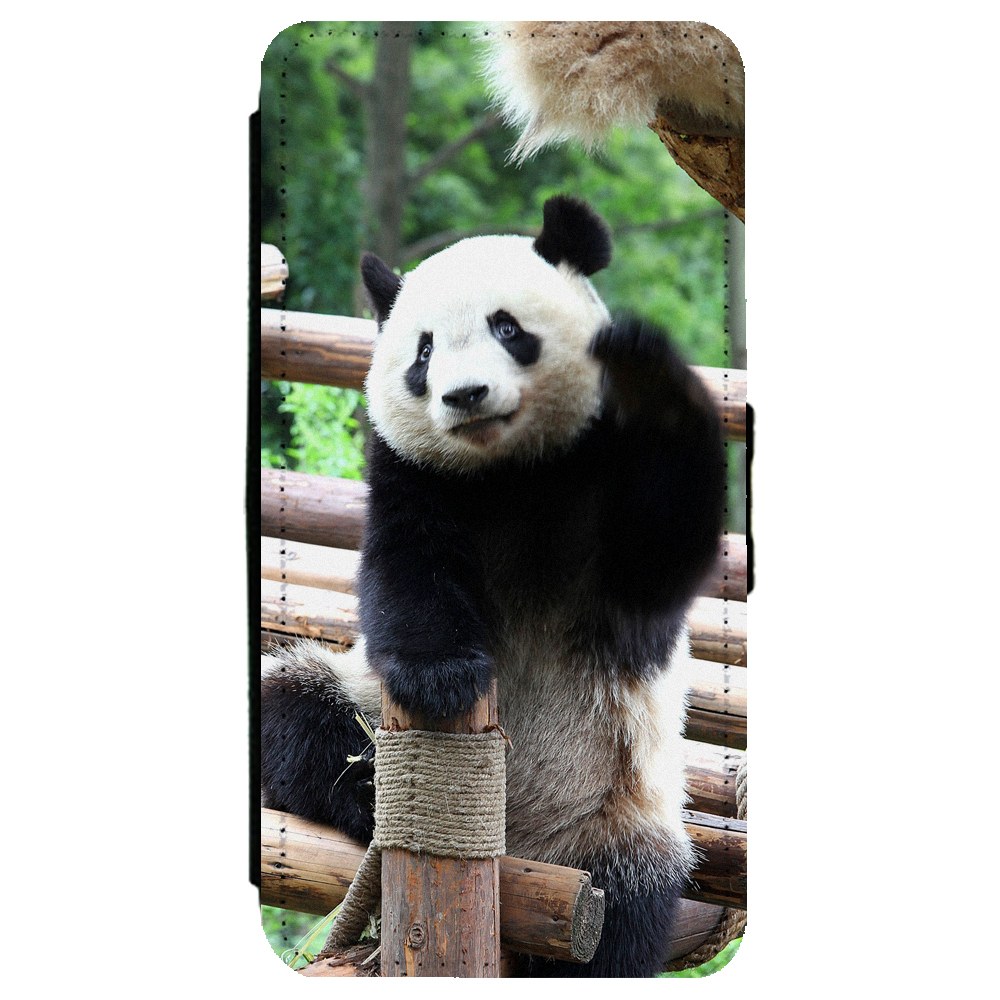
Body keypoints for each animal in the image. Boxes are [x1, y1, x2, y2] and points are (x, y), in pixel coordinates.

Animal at [261, 195, 726, 978]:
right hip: (356, 695)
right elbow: (406, 571)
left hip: (616, 816)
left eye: (507, 329)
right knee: (293, 707)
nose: (465, 395)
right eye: (423, 353)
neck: (508, 470)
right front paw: (444, 676)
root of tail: (519, 852)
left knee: (624, 916)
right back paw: (363, 790)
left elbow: (659, 558)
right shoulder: (414, 475)